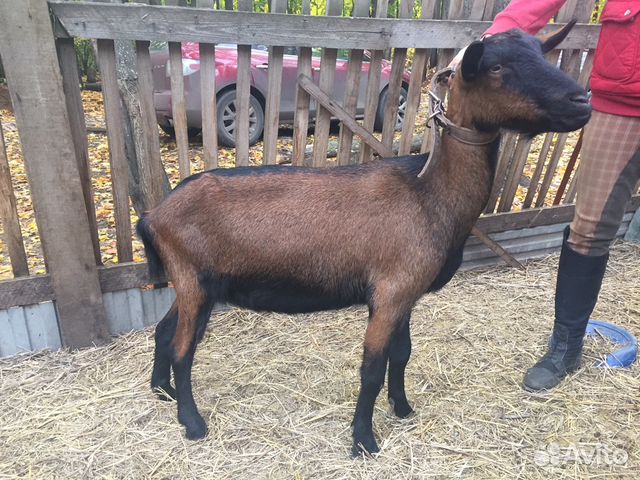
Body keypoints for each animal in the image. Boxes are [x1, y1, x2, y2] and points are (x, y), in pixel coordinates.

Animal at [137, 23, 590, 456]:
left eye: (540, 53)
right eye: (496, 67)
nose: (582, 100)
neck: (428, 193)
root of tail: (154, 215)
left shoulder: (406, 293)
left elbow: (401, 355)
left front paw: (403, 409)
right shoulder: (390, 293)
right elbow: (371, 370)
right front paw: (363, 441)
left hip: (194, 285)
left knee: (164, 332)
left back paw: (163, 392)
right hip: (194, 281)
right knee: (183, 349)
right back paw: (192, 423)